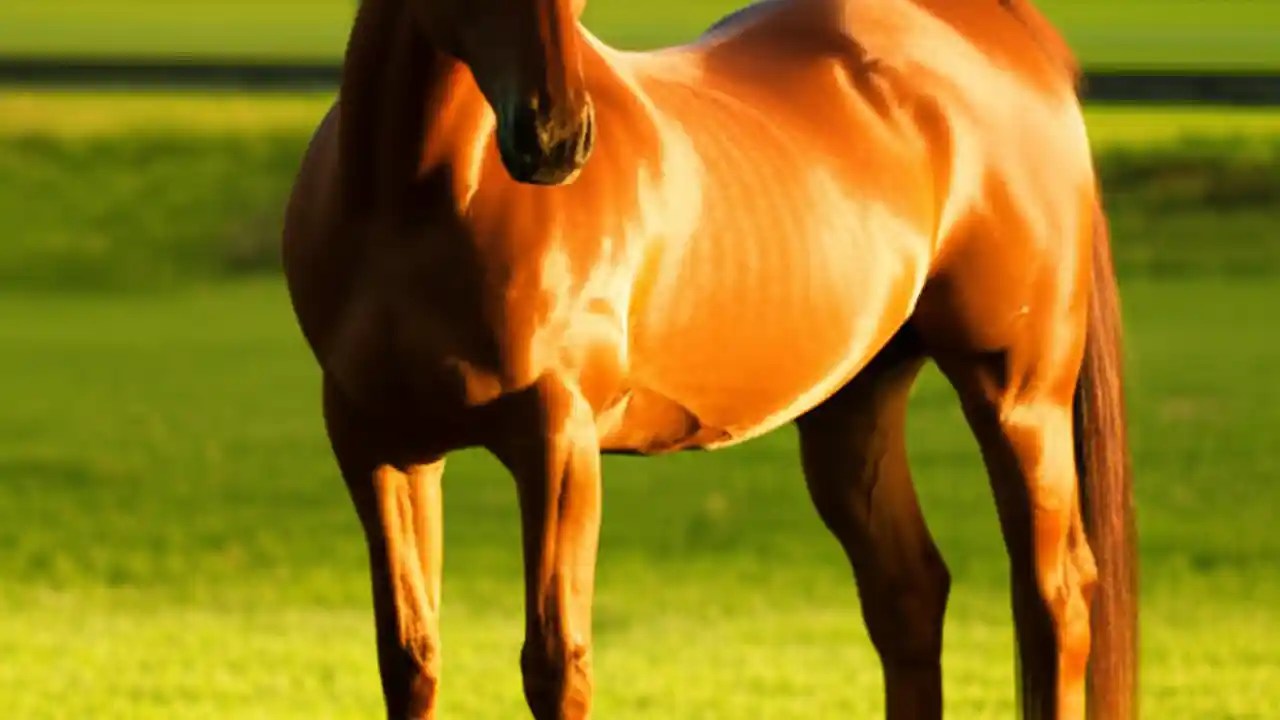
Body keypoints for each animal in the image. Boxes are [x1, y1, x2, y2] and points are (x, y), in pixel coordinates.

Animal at [281, 0, 1137, 717]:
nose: (557, 138)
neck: (416, 204)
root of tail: (1000, 28)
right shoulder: (378, 446)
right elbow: (410, 658)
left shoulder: (557, 446)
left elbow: (556, 666)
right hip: (852, 412)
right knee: (909, 596)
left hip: (1018, 397)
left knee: (1054, 600)